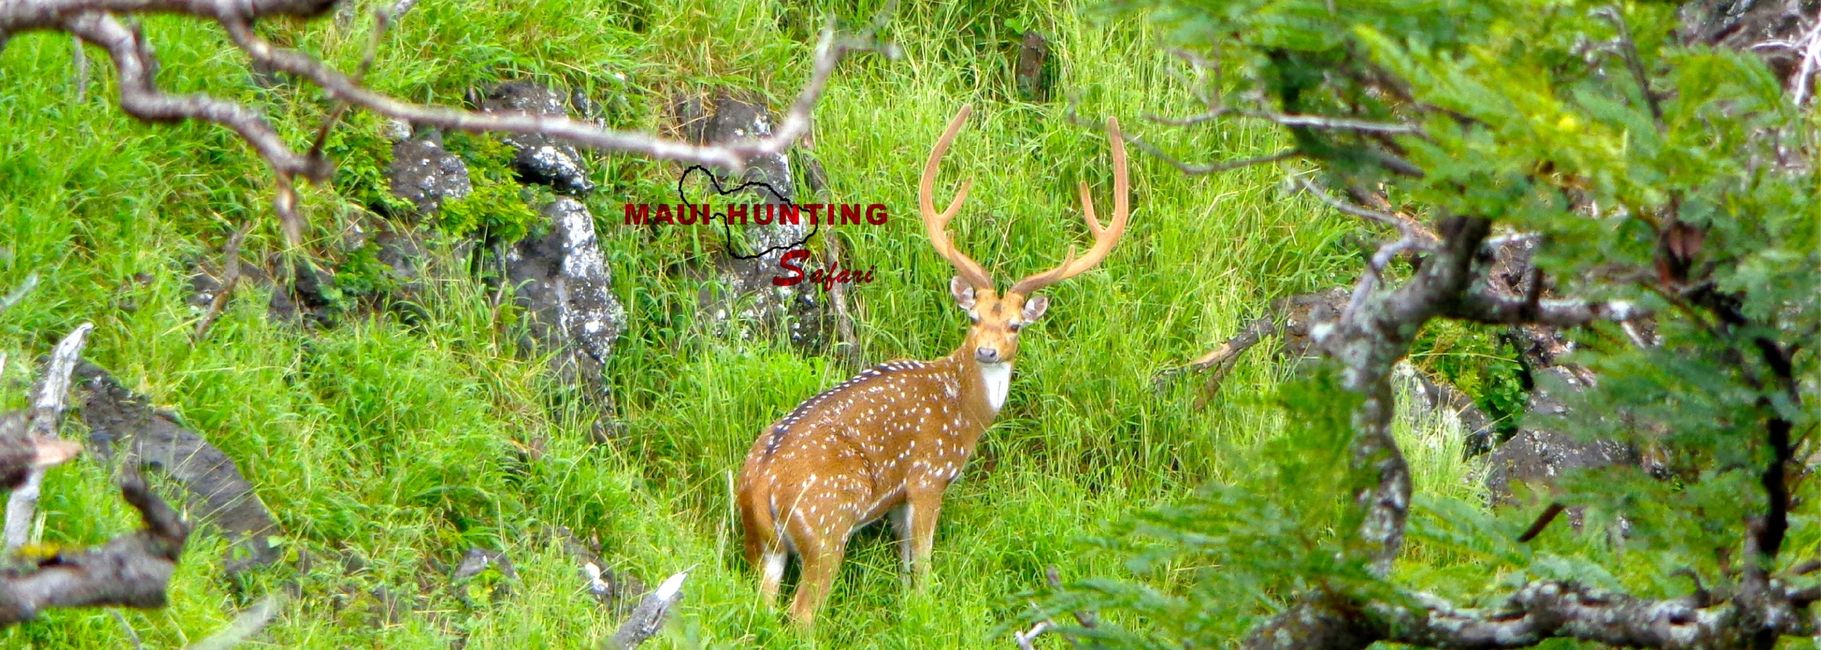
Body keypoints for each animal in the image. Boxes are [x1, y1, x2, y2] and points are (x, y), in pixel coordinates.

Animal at [734, 104, 1130, 628]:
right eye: (974, 318)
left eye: (1014, 326)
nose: (987, 351)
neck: (966, 411)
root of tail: (757, 484)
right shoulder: (927, 475)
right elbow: (921, 564)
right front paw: (924, 609)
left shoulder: (900, 499)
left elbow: (904, 567)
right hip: (824, 527)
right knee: (802, 615)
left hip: (763, 546)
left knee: (760, 607)